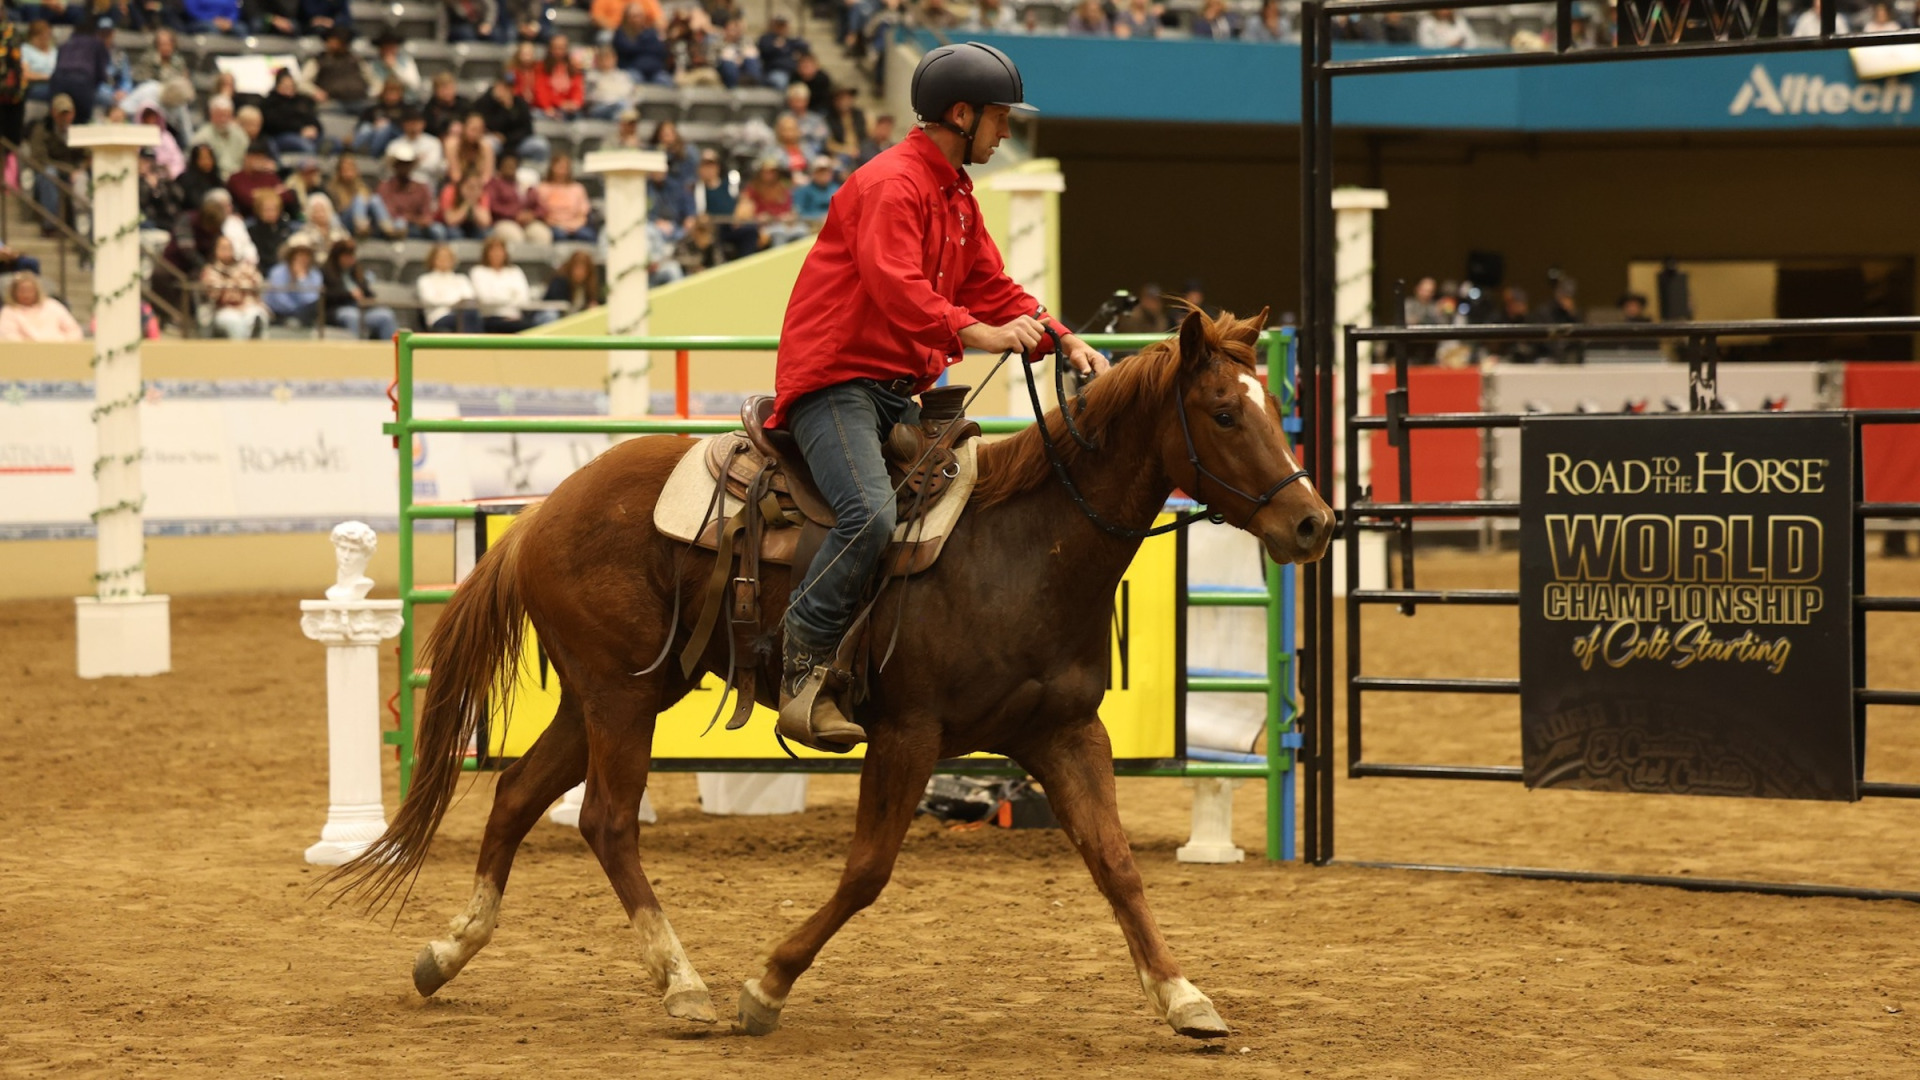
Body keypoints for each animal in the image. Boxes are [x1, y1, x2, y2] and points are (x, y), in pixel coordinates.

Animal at [326, 306, 1334, 1039]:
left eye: (1266, 405)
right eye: (1224, 412)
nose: (1315, 524)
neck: (1024, 545)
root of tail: (540, 511)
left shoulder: (1064, 732)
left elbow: (1116, 865)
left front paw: (1185, 997)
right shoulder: (908, 733)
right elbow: (867, 870)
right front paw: (765, 986)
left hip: (612, 692)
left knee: (515, 797)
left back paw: (449, 951)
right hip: (619, 697)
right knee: (606, 821)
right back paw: (683, 984)